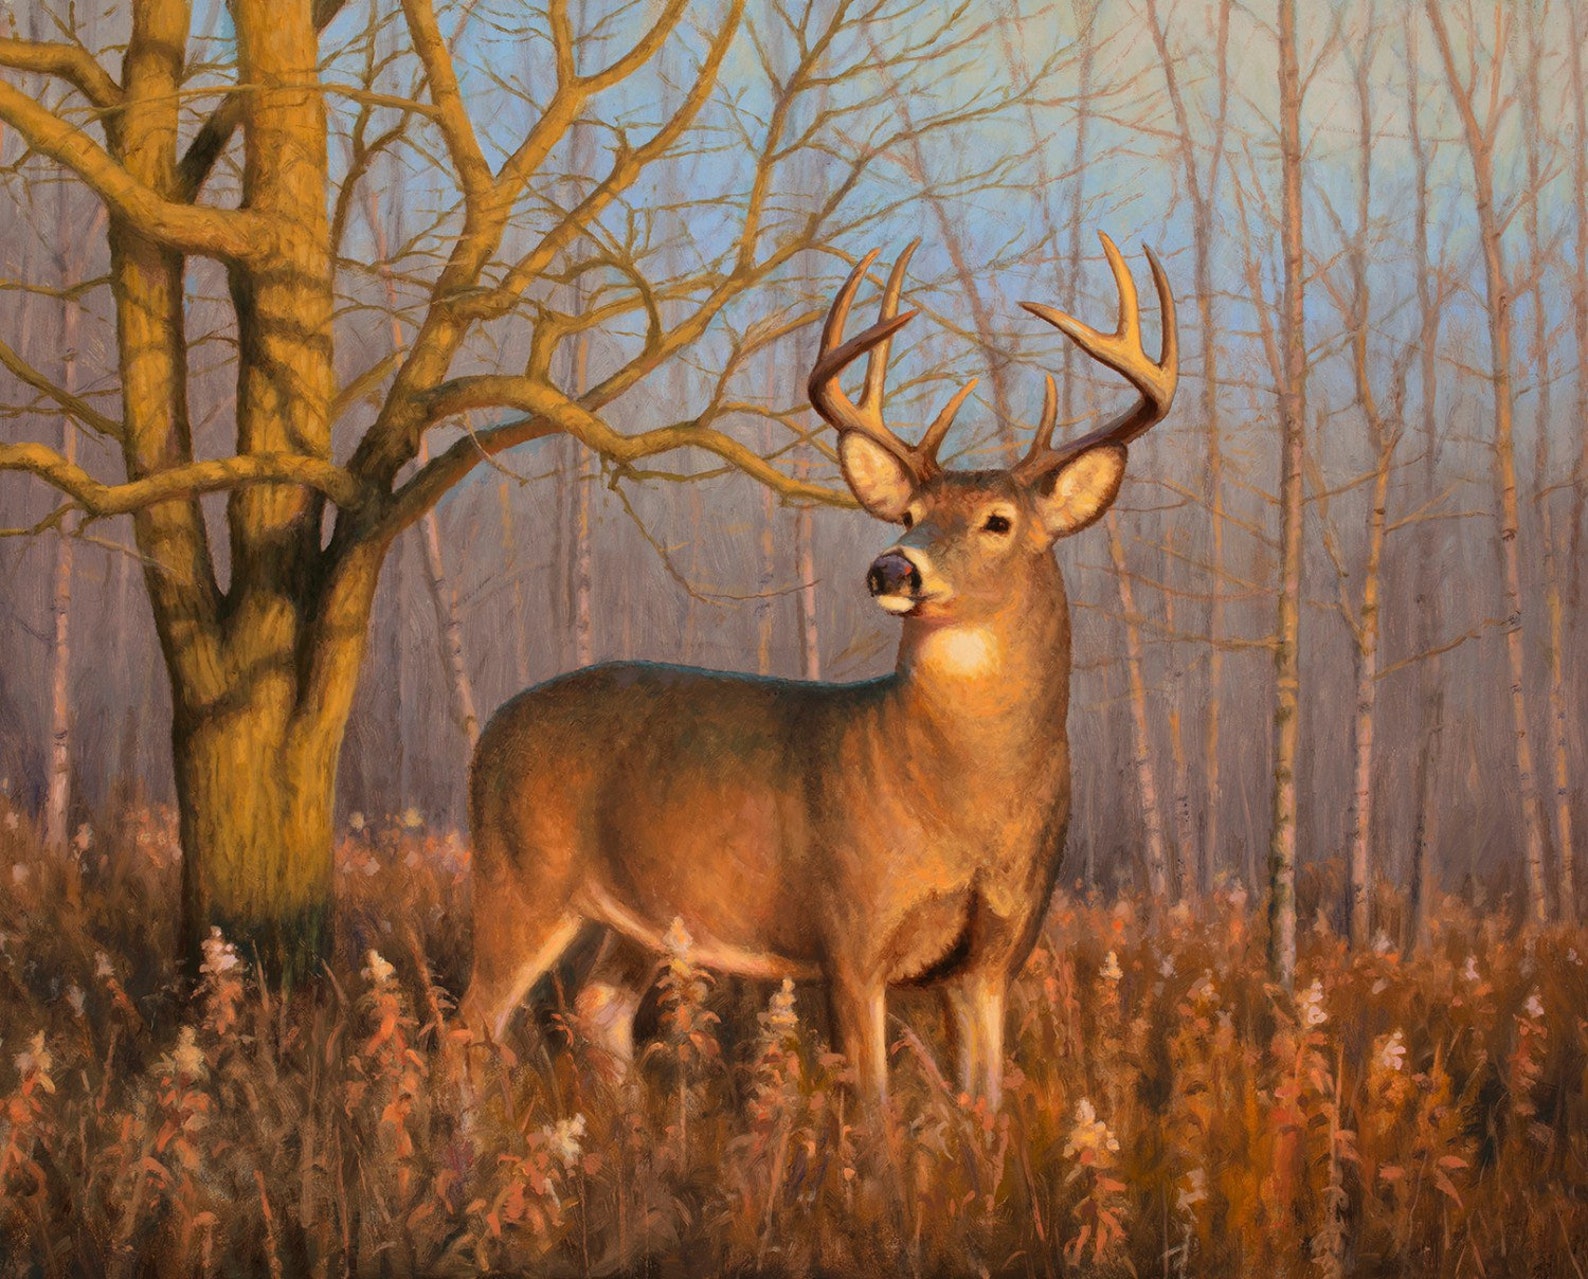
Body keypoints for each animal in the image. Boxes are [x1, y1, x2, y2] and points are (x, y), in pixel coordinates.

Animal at [458, 232, 1176, 1109]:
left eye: (998, 521)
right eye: (909, 515)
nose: (892, 567)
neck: (960, 800)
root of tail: (492, 728)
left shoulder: (992, 958)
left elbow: (984, 1109)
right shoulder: (848, 934)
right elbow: (873, 1111)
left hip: (642, 914)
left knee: (595, 1007)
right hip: (520, 875)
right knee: (469, 1023)